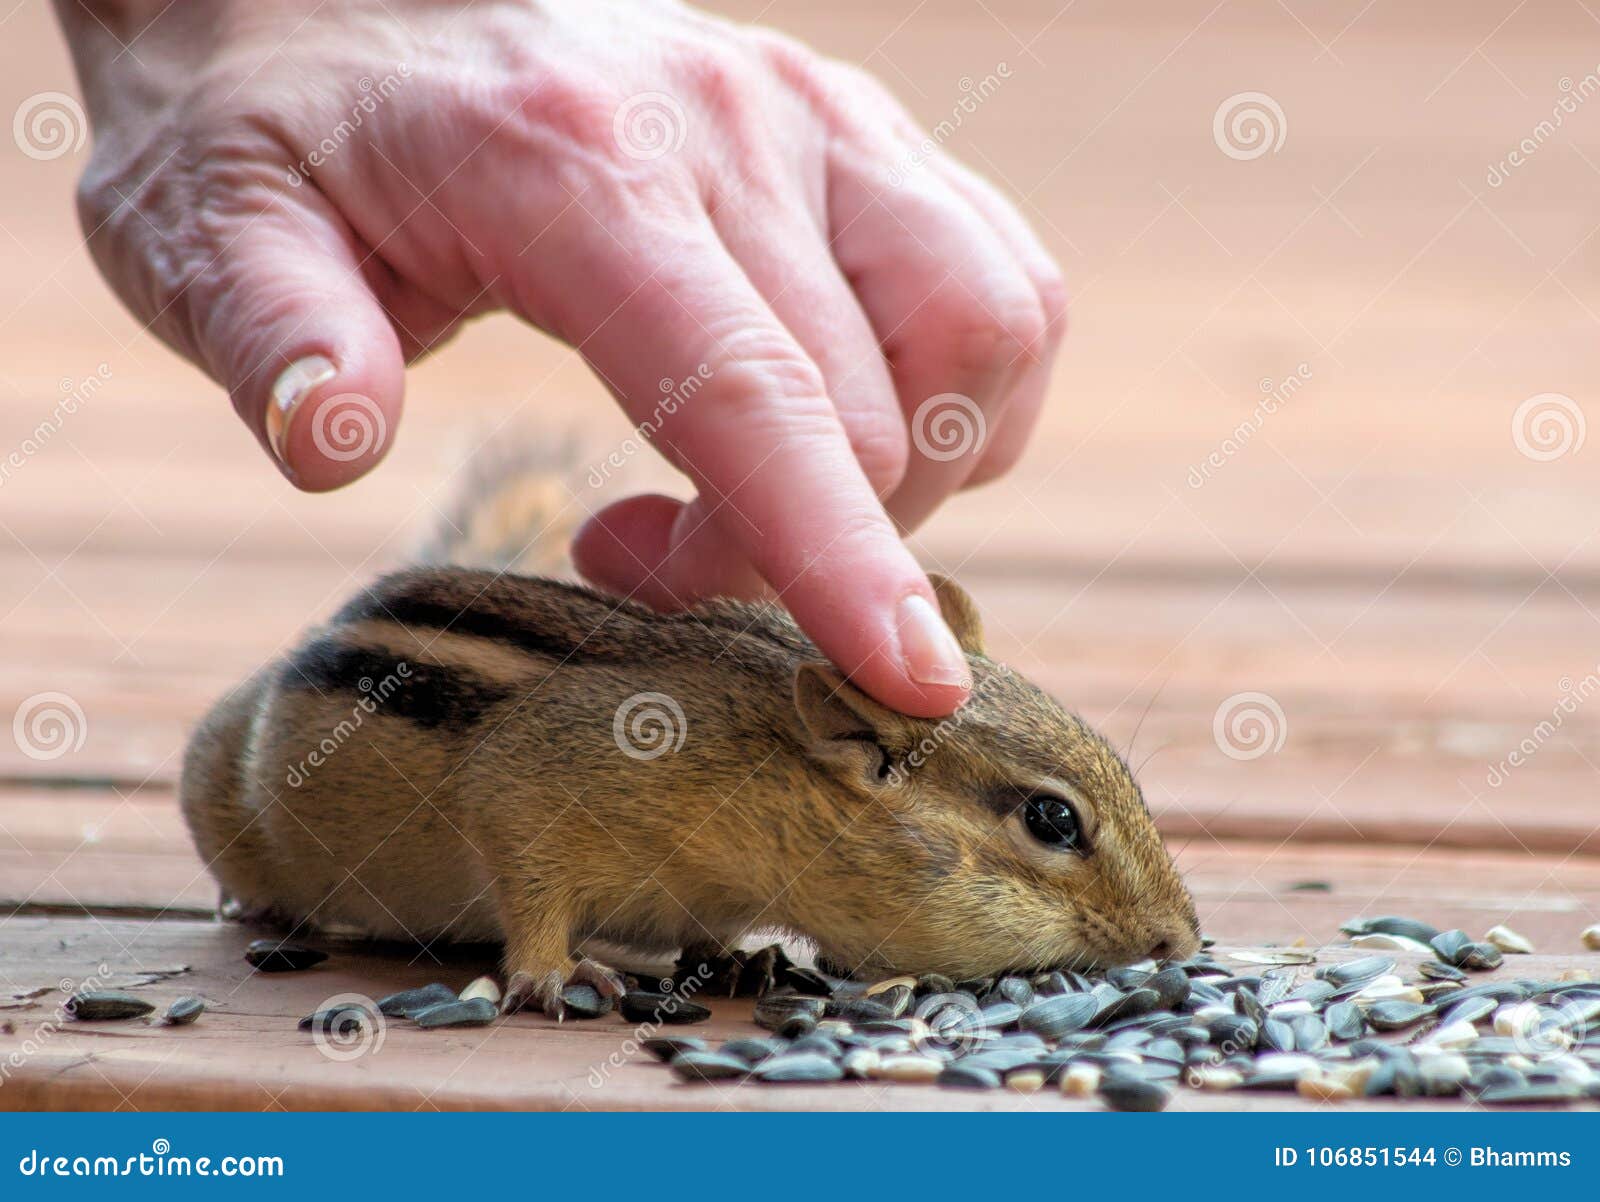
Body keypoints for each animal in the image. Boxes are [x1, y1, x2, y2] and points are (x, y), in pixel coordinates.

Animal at [180, 445, 1200, 1017]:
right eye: (1051, 820)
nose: (1181, 942)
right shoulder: (528, 780)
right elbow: (527, 882)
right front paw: (553, 974)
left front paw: (743, 959)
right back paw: (254, 906)